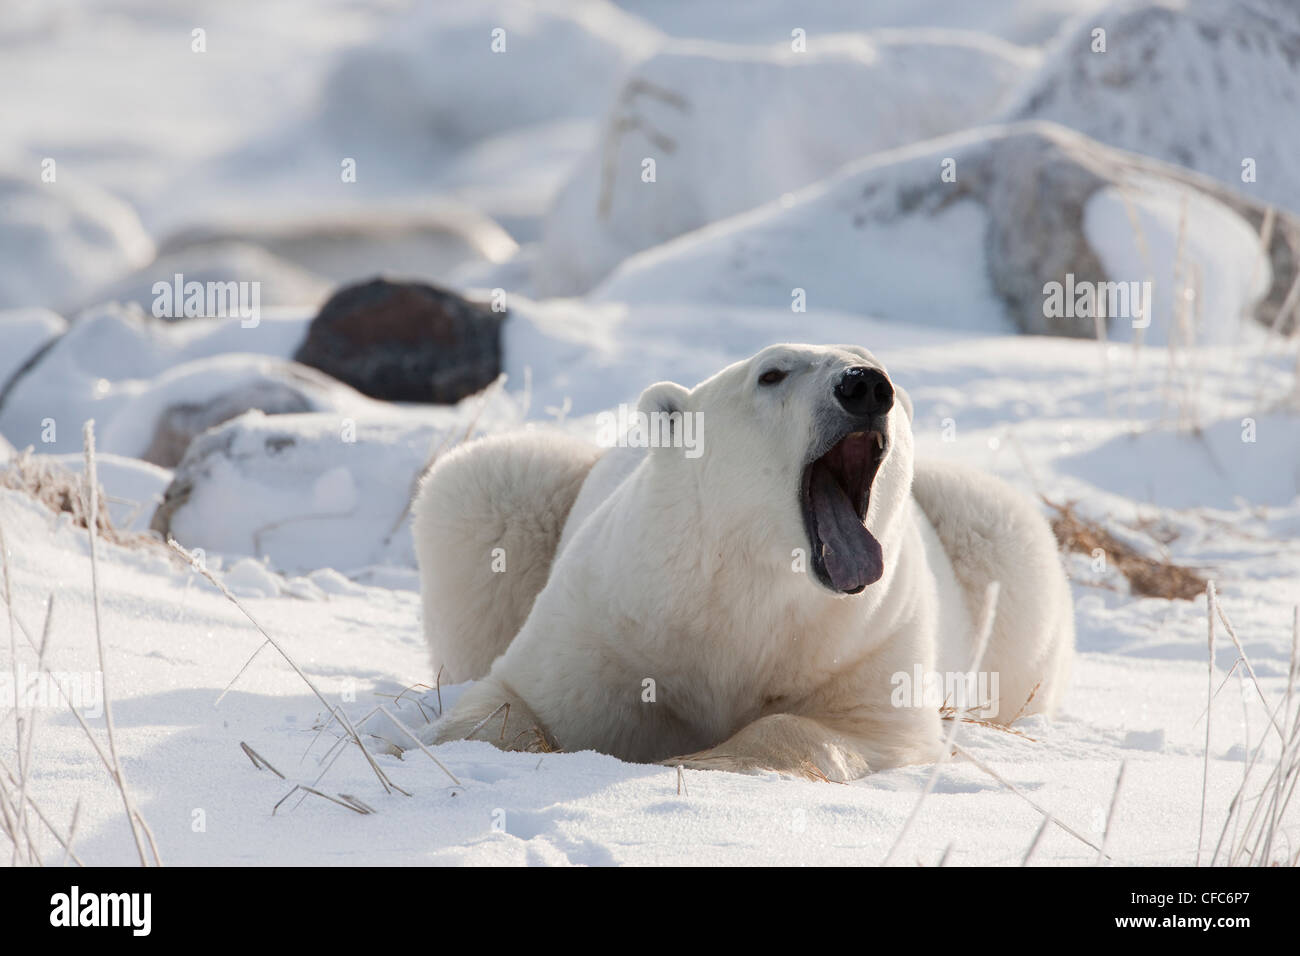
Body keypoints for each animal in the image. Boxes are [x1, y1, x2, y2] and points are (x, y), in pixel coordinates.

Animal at [413, 344, 1074, 780]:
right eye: (771, 373)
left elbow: (849, 727)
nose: (866, 385)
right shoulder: (609, 616)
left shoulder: (870, 637)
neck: (751, 579)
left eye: (873, 361)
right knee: (481, 485)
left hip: (993, 544)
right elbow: (516, 699)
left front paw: (702, 758)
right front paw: (429, 746)